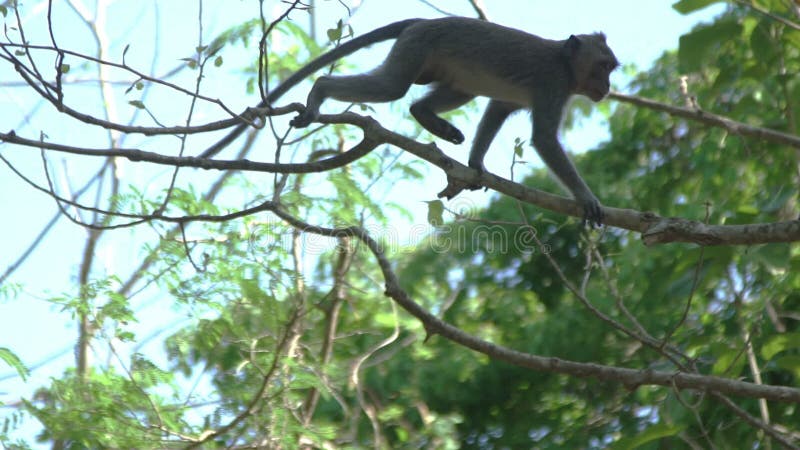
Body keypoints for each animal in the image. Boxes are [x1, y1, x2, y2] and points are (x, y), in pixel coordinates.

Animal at [201, 17, 618, 226]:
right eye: (603, 66)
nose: (608, 86)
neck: (565, 63)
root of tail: (427, 20)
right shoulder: (553, 85)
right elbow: (544, 138)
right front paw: (587, 198)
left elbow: (498, 108)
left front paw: (476, 164)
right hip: (415, 47)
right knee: (391, 87)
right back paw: (320, 91)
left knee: (449, 93)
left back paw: (429, 119)